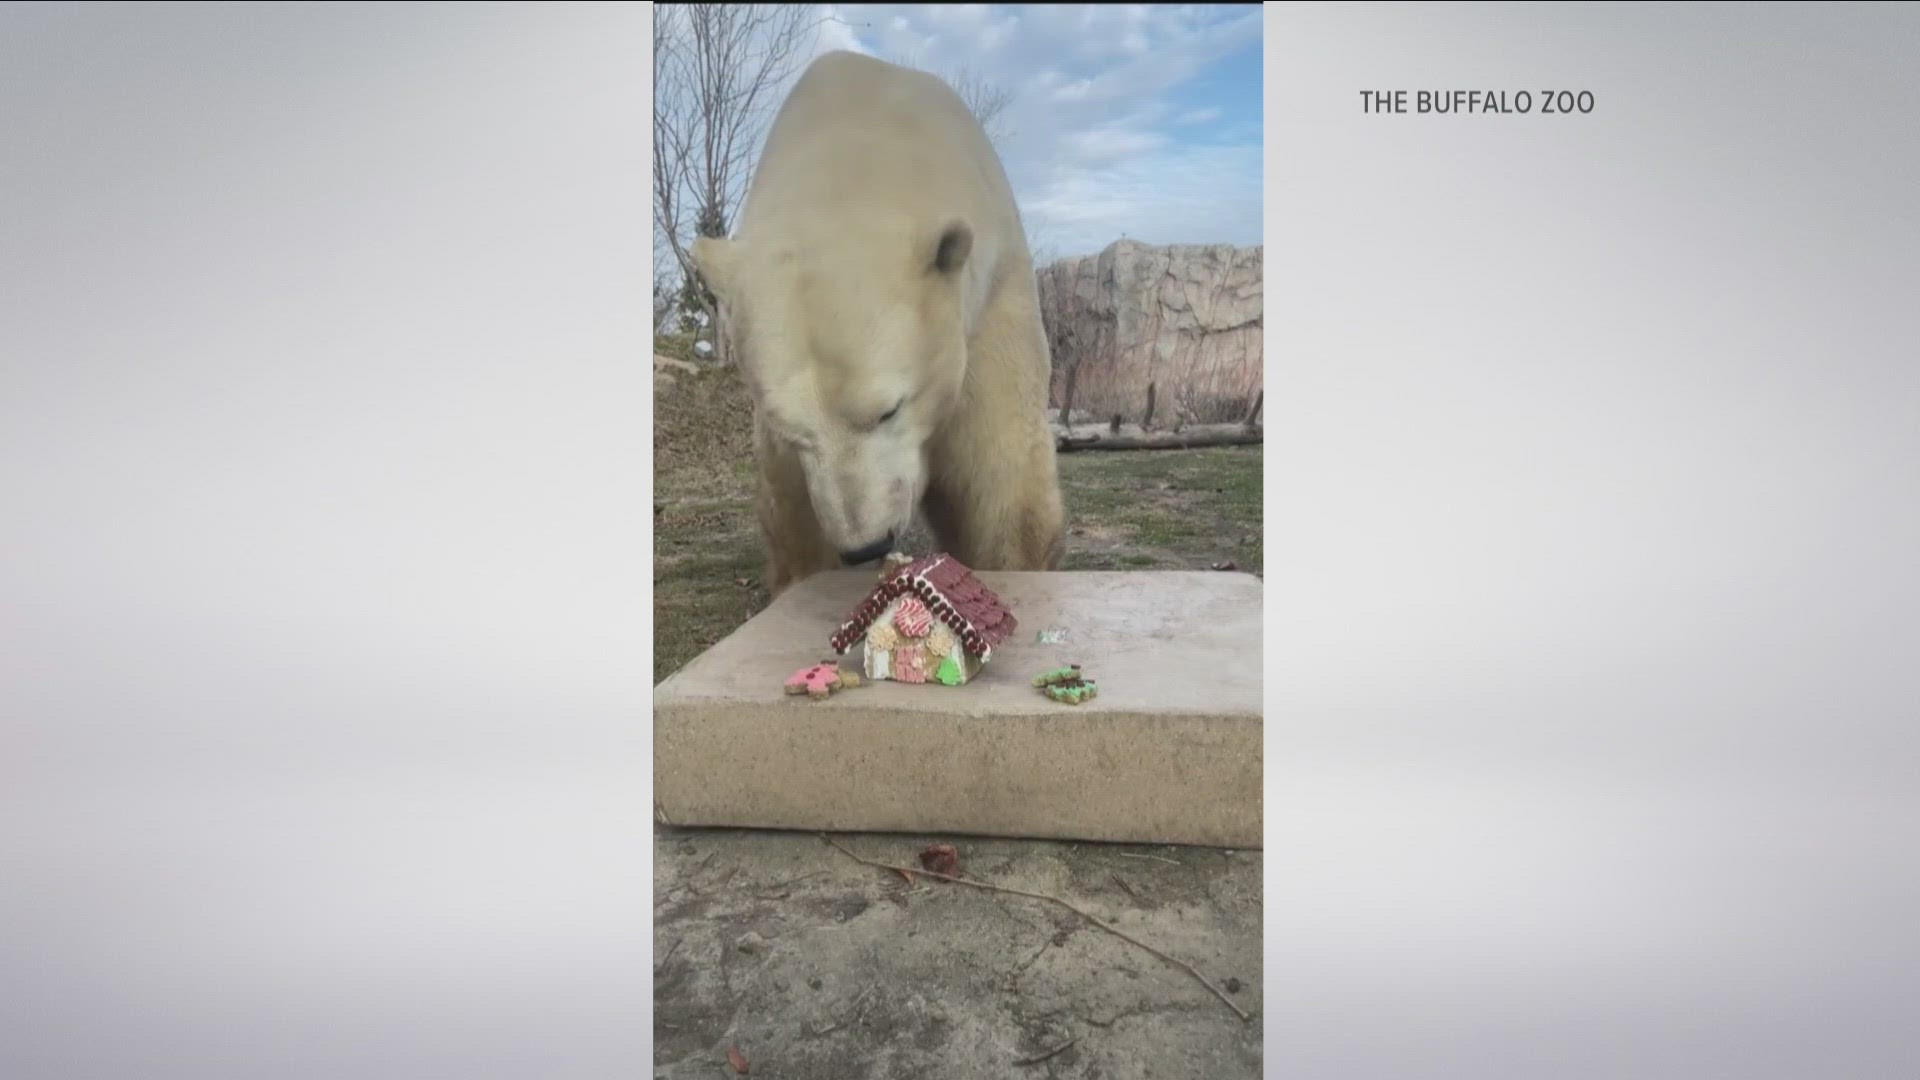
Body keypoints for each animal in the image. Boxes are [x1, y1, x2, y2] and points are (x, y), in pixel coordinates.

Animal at [691, 50, 1066, 596]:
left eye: (889, 410)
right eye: (792, 431)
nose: (865, 545)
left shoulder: (992, 289)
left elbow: (999, 466)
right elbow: (792, 511)